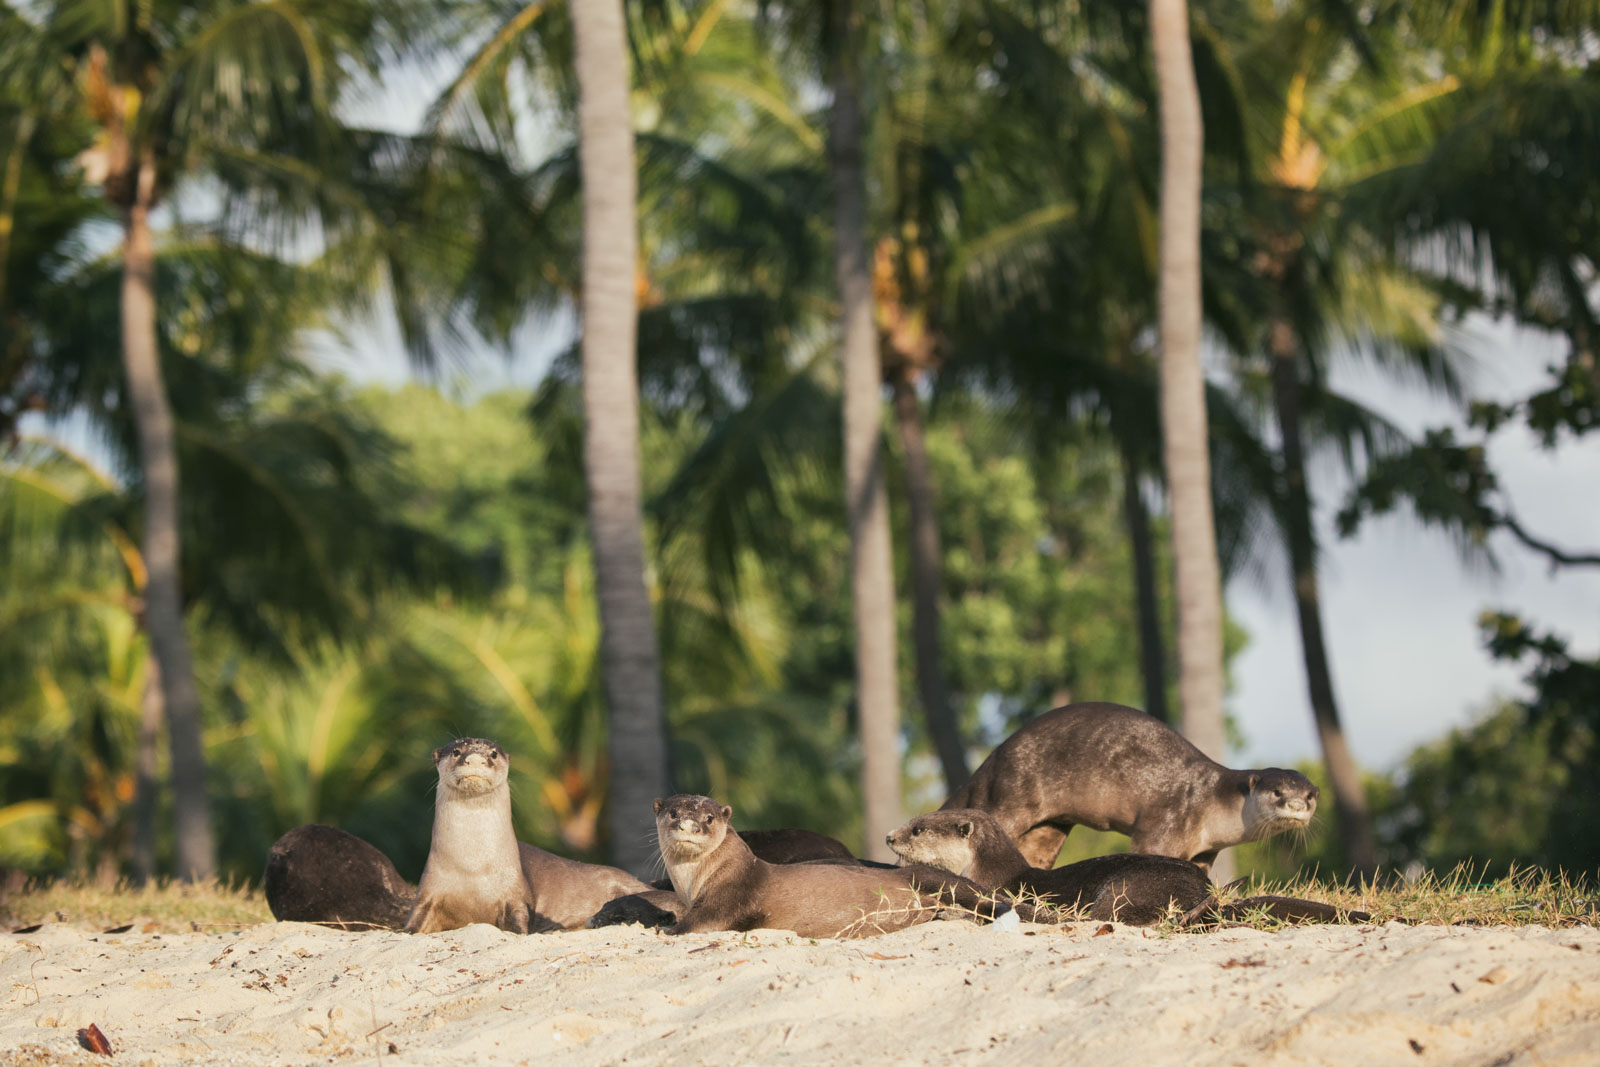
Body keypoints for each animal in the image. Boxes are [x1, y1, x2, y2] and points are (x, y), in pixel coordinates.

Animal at [650, 795, 1019, 938]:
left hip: (929, 877)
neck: (692, 883)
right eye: (673, 812)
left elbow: (697, 922)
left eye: (709, 818)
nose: (688, 825)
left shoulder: (728, 896)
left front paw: (667, 929)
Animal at [947, 702, 1319, 871]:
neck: (1211, 803)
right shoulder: (1170, 821)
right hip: (1013, 790)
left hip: (1050, 826)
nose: (1297, 806)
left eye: (1310, 796)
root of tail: (997, 752)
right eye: (1277, 792)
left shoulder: (1205, 852)